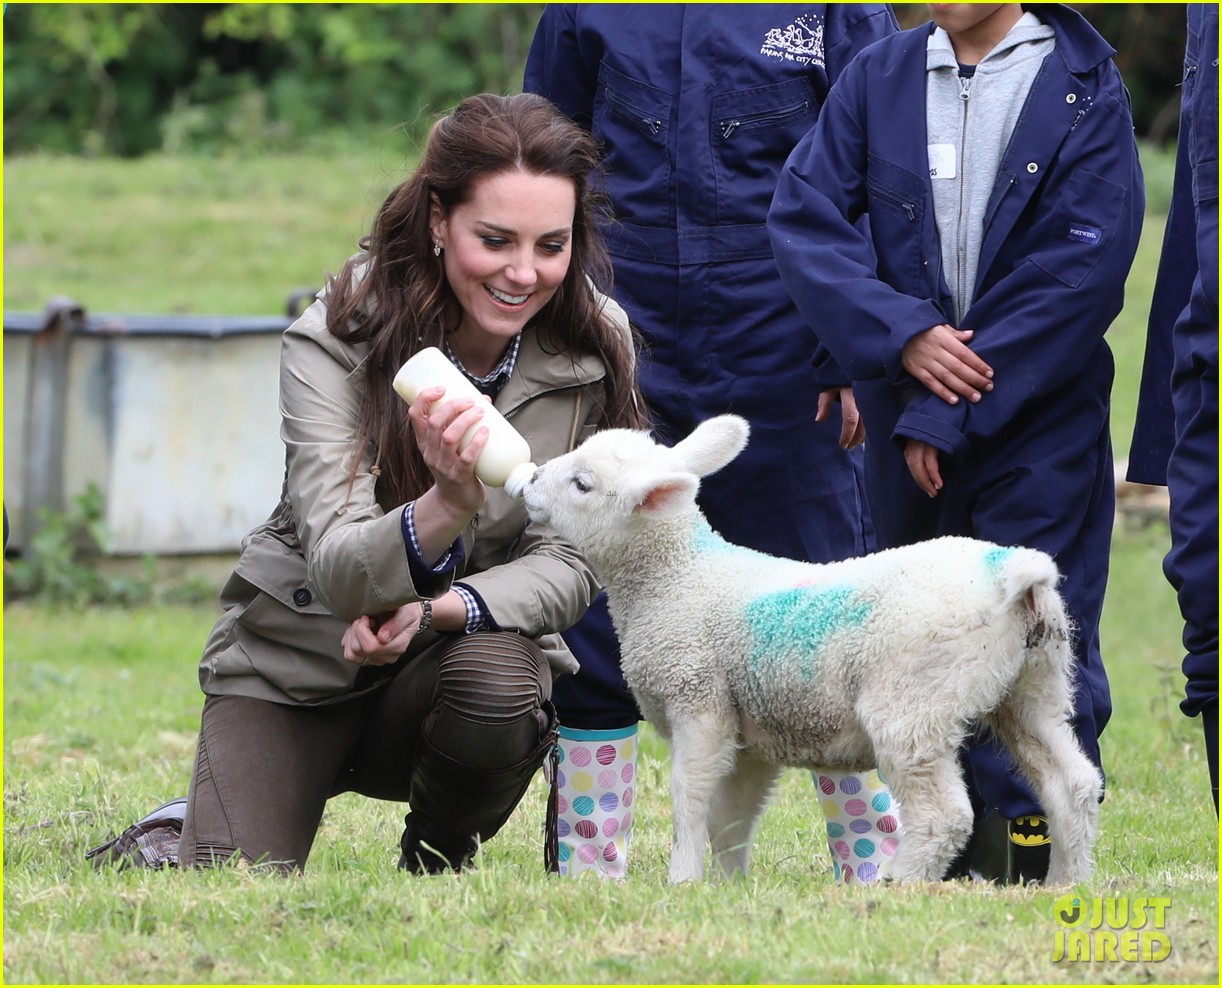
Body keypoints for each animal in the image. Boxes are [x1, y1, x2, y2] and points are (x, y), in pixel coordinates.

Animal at [521, 414, 1104, 885]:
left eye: (582, 484)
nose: (528, 481)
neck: (679, 576)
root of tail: (1012, 571)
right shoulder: (747, 730)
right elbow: (732, 815)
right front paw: (728, 887)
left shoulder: (699, 701)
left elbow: (690, 800)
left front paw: (682, 881)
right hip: (1033, 685)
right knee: (1070, 783)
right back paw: (1065, 884)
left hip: (913, 700)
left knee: (944, 813)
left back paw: (898, 882)